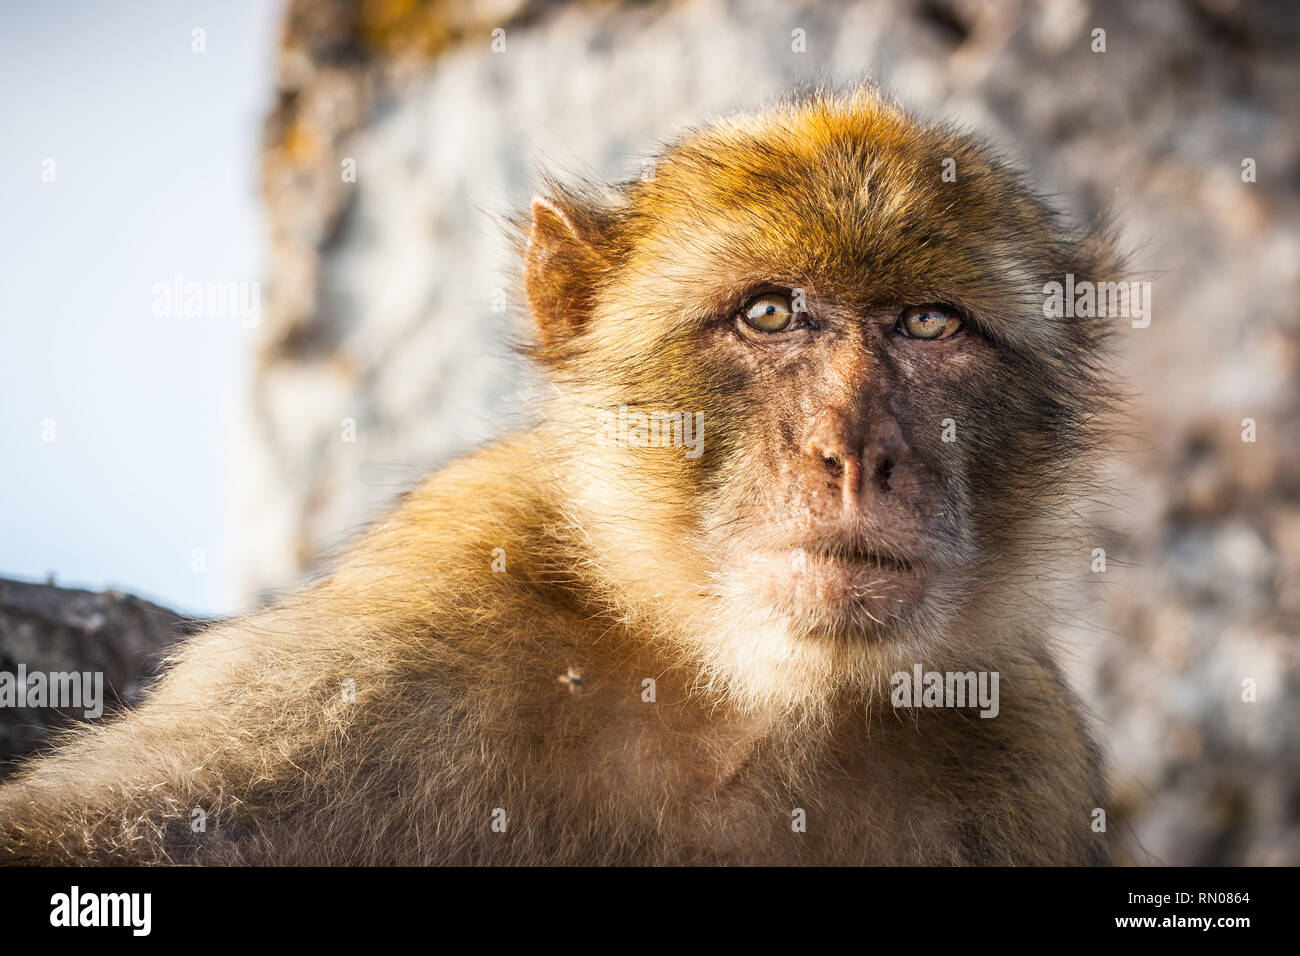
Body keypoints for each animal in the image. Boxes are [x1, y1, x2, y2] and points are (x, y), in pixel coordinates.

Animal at [0, 86, 1119, 865]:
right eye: (769, 313)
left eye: (929, 323)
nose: (855, 453)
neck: (746, 701)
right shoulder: (406, 629)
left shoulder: (1022, 754)